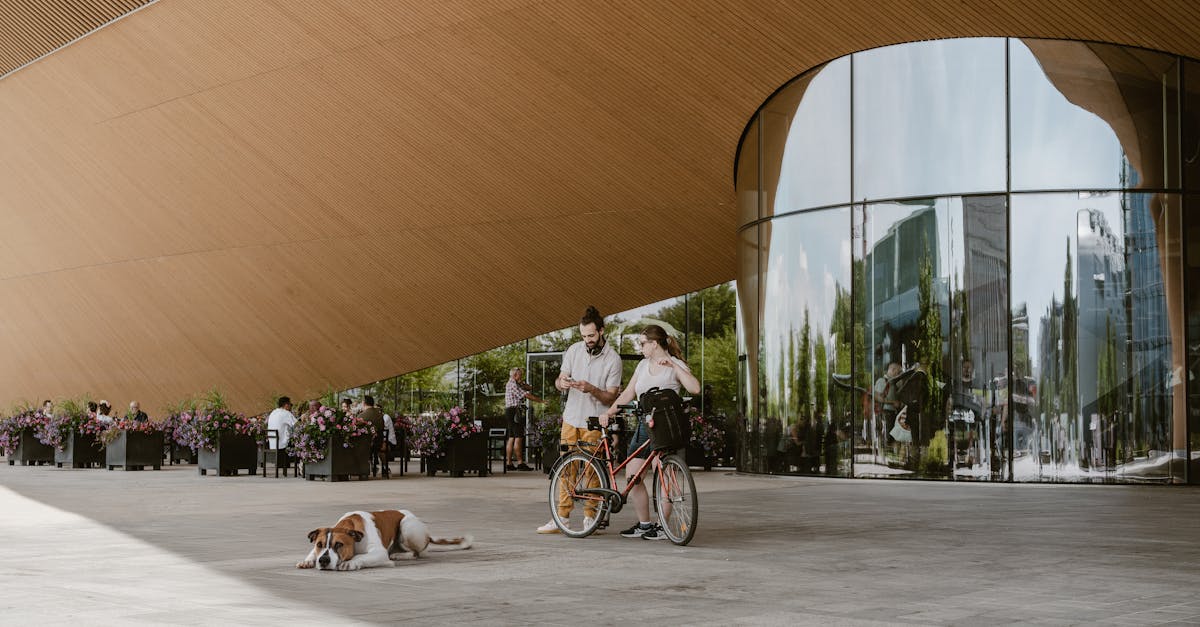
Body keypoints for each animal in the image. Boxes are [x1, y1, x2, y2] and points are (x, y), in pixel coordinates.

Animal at [295, 506, 472, 571]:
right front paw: (308, 560)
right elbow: (312, 553)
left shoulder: (379, 553)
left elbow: (362, 557)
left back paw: (399, 555)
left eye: (339, 544)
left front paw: (351, 562)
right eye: (319, 544)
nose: (323, 561)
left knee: (418, 553)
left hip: (408, 527)